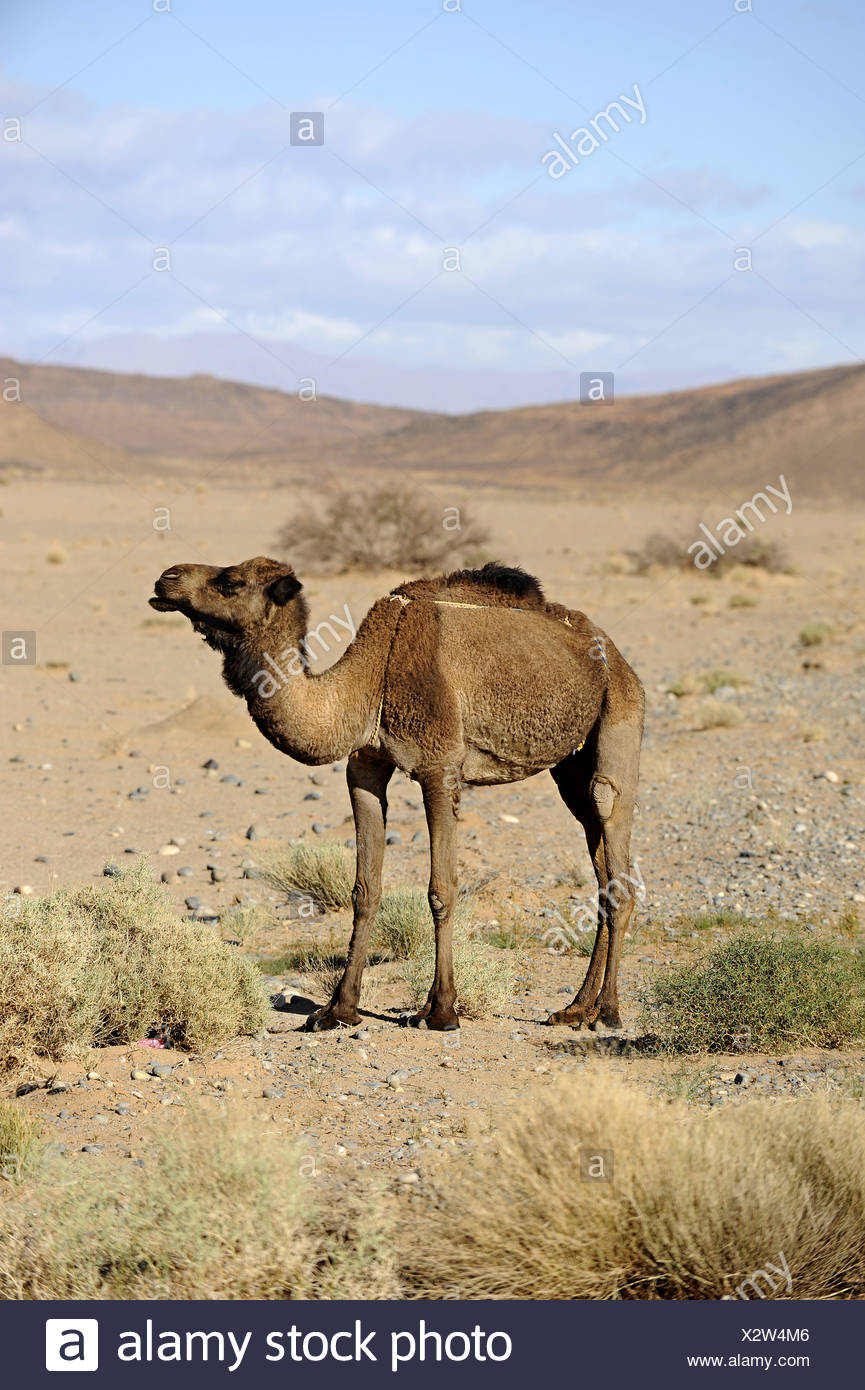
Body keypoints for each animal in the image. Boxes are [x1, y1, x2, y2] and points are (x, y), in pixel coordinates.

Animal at [149, 557, 644, 1032]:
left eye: (230, 582)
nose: (165, 579)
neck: (371, 680)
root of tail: (611, 652)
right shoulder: (365, 766)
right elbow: (364, 890)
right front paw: (337, 1010)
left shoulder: (440, 768)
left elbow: (441, 889)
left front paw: (441, 1011)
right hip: (569, 769)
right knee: (598, 859)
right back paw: (575, 1009)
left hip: (620, 716)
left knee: (611, 827)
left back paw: (607, 1012)